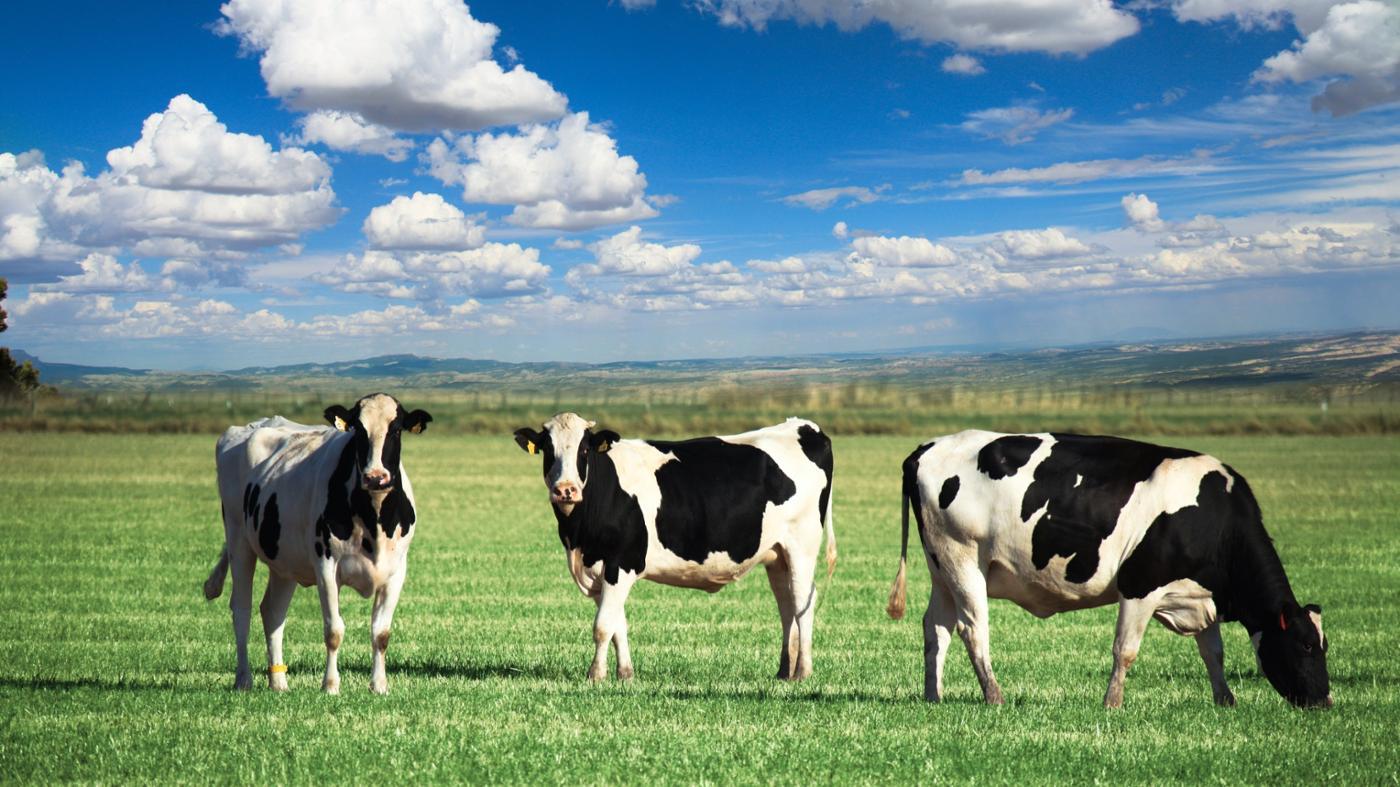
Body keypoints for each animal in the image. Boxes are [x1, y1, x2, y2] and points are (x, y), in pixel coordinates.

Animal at [203, 393, 432, 694]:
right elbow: (334, 630)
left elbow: (381, 633)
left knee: (272, 612)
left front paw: (379, 685)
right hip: (239, 540)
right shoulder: (326, 566)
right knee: (242, 608)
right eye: (358, 430)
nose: (375, 477)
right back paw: (243, 679)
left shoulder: (397, 571)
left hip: (284, 562)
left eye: (395, 429)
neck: (374, 518)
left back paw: (278, 681)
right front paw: (330, 685)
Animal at [513, 413, 836, 682]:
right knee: (786, 605)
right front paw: (625, 674)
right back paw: (784, 671)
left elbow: (603, 626)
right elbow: (618, 625)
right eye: (548, 450)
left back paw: (802, 672)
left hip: (802, 546)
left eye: (583, 450)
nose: (565, 489)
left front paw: (596, 674)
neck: (579, 535)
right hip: (777, 555)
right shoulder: (598, 569)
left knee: (803, 602)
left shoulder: (621, 563)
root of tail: (804, 426)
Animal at [886, 430, 1331, 708]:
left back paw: (934, 695)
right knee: (972, 629)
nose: (1324, 701)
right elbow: (1126, 650)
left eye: (1324, 646)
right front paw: (1112, 703)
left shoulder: (1201, 596)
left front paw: (1225, 700)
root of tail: (927, 447)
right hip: (963, 560)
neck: (1211, 517)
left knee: (936, 627)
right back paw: (994, 695)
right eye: (1306, 645)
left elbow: (1213, 653)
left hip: (941, 569)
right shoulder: (1139, 586)